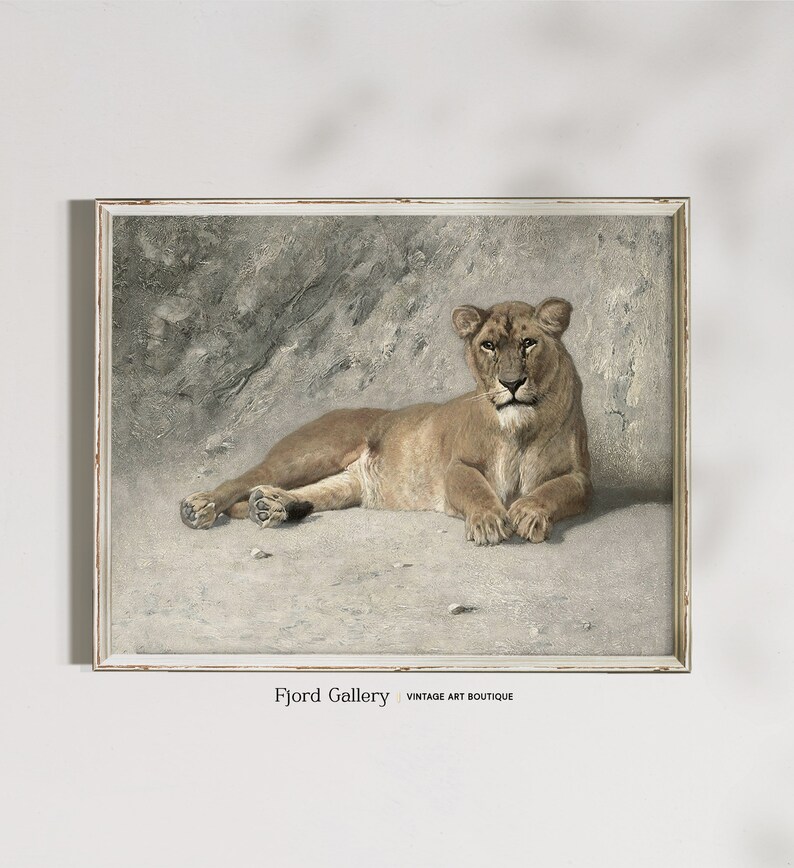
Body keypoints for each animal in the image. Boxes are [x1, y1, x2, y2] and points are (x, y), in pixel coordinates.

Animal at [180, 298, 592, 545]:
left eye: (528, 343)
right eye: (488, 345)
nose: (511, 383)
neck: (520, 428)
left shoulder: (580, 477)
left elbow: (554, 490)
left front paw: (528, 512)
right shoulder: (457, 466)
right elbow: (476, 488)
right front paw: (490, 521)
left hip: (348, 484)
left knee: (310, 493)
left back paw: (270, 506)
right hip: (310, 453)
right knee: (247, 478)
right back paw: (199, 507)